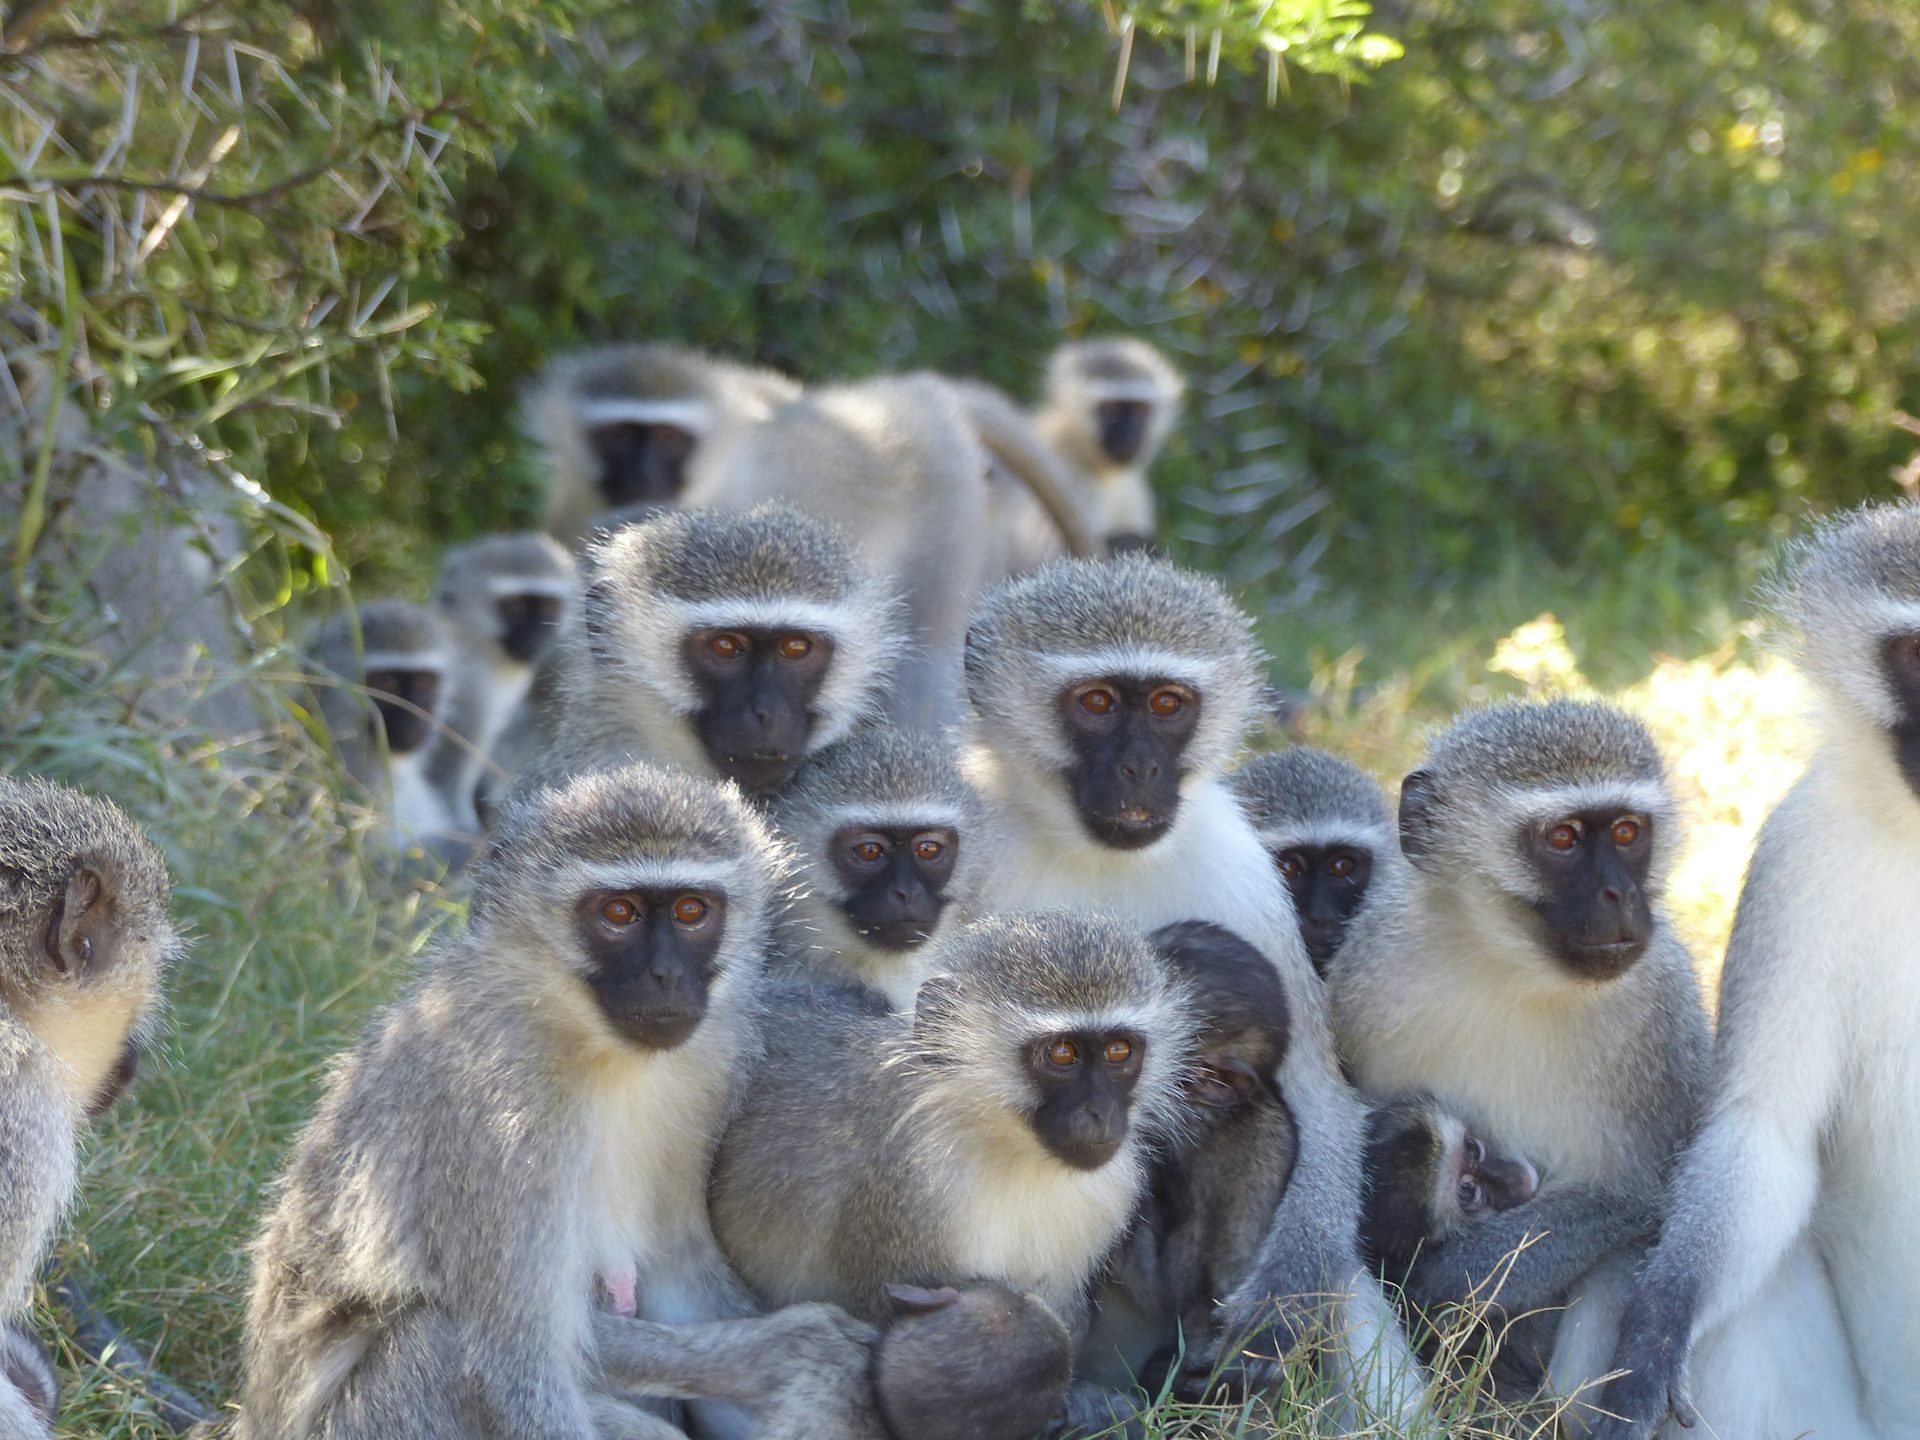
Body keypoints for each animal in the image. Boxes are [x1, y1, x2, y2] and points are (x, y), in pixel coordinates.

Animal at [237, 762, 783, 1440]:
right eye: (619, 912)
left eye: (690, 910)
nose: (666, 976)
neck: (577, 1035)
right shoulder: (502, 1117)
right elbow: (512, 1365)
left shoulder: (705, 1075)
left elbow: (681, 1280)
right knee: (439, 1342)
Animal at [709, 909, 1196, 1436]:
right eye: (1062, 1053)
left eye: (1119, 1052)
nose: (1100, 1114)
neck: (1005, 1142)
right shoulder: (909, 1187)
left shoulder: (1110, 1191)